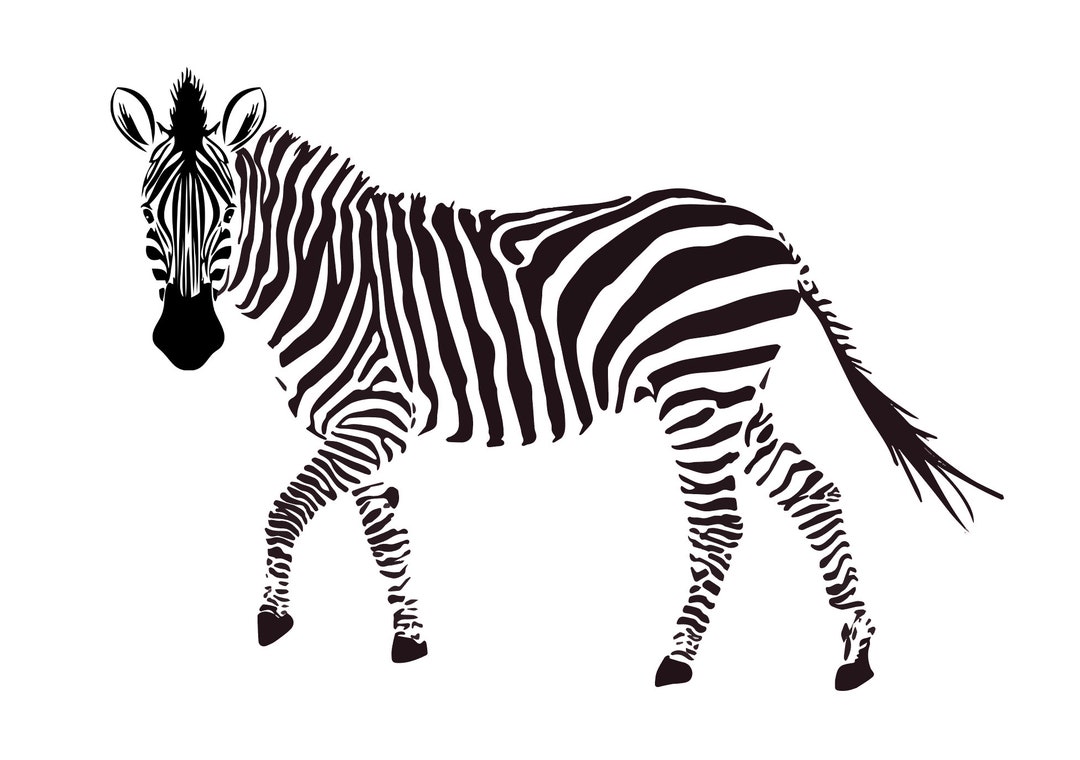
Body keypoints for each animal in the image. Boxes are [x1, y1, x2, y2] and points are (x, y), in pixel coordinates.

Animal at [110, 71, 1001, 691]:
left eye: (227, 215)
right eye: (149, 215)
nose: (186, 343)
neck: (325, 273)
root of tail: (770, 233)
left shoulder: (373, 416)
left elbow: (285, 507)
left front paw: (273, 618)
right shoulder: (358, 426)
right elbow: (384, 533)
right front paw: (409, 640)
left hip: (698, 393)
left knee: (720, 528)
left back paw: (678, 660)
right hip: (734, 395)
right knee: (815, 493)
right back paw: (855, 655)